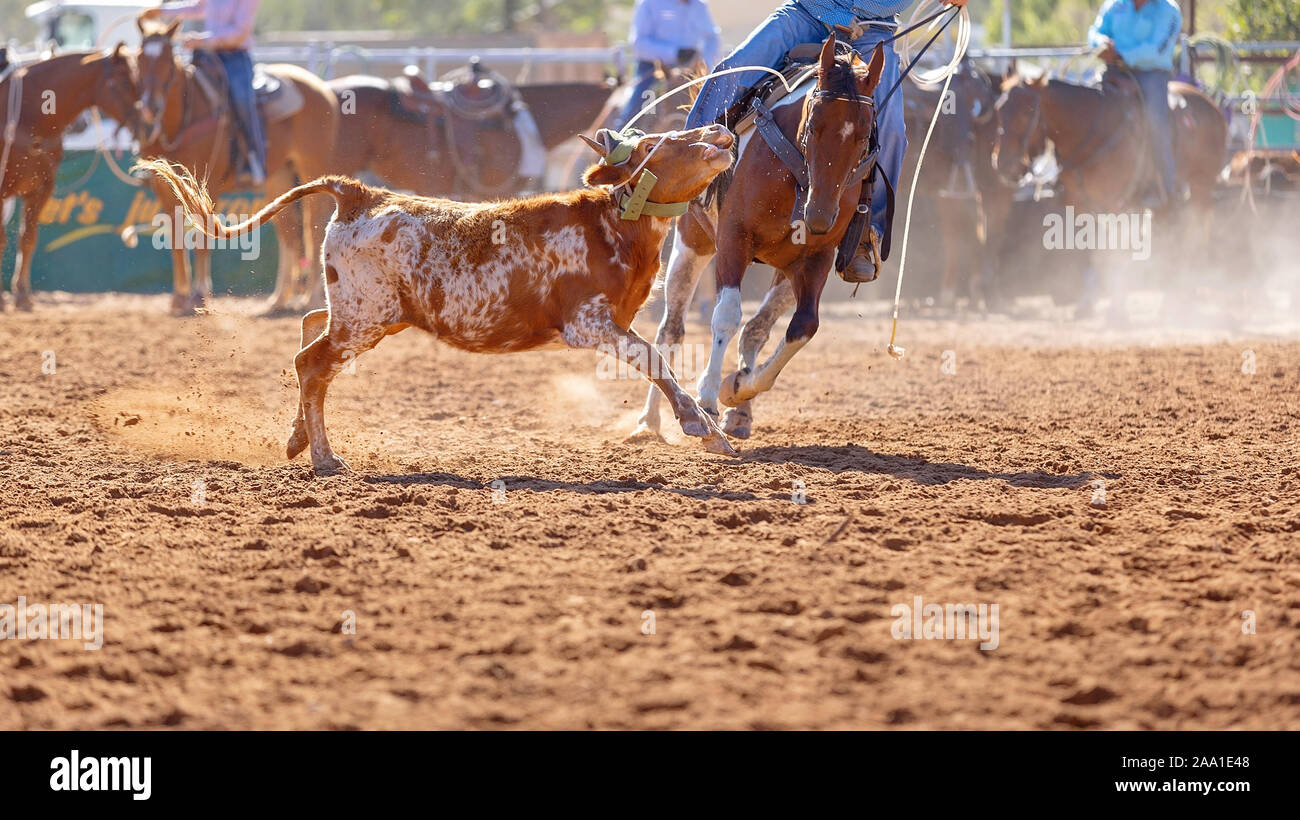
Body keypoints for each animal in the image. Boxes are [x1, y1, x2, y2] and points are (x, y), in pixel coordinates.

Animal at [134, 123, 737, 474]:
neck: (613, 224)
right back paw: (325, 458)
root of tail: (360, 193)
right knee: (312, 361)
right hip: (367, 317)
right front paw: (704, 430)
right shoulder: (588, 323)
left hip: (366, 311)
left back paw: (297, 439)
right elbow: (656, 359)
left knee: (309, 328)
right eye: (659, 144)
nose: (718, 128)